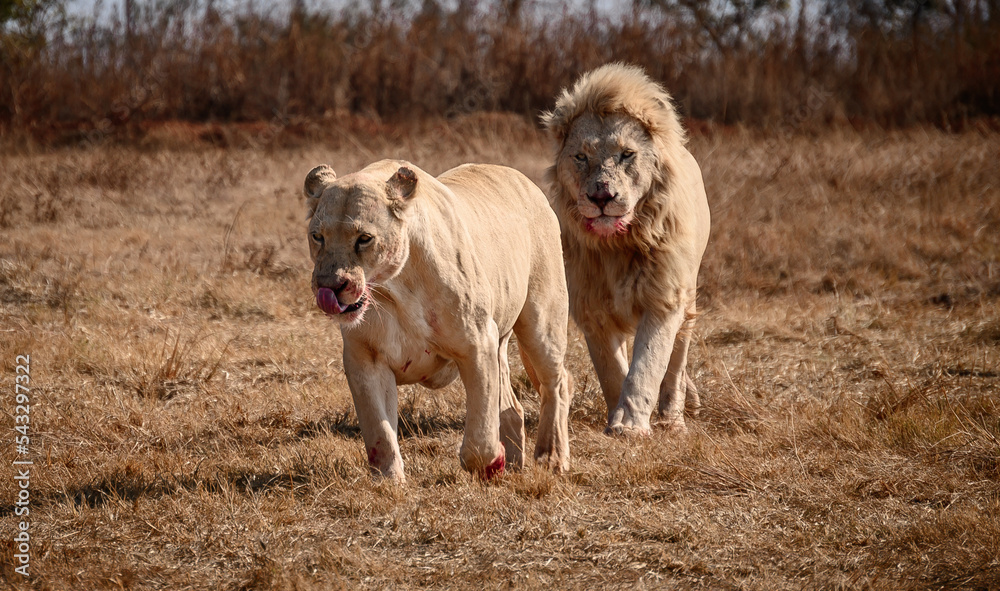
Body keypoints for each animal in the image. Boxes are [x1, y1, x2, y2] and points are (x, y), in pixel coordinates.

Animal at [302, 159, 573, 481]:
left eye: (364, 239)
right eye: (318, 236)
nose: (328, 286)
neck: (394, 288)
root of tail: (523, 179)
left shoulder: (477, 342)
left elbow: (480, 432)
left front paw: (491, 464)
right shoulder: (365, 358)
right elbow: (379, 431)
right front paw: (389, 481)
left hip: (541, 324)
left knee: (557, 383)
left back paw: (551, 458)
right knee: (513, 407)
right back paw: (517, 464)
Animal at [541, 63, 711, 435]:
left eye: (626, 154)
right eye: (581, 157)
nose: (601, 197)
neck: (616, 245)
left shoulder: (663, 297)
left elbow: (647, 366)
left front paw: (630, 424)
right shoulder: (591, 307)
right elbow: (612, 372)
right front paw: (618, 419)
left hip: (687, 300)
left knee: (675, 366)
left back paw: (673, 418)